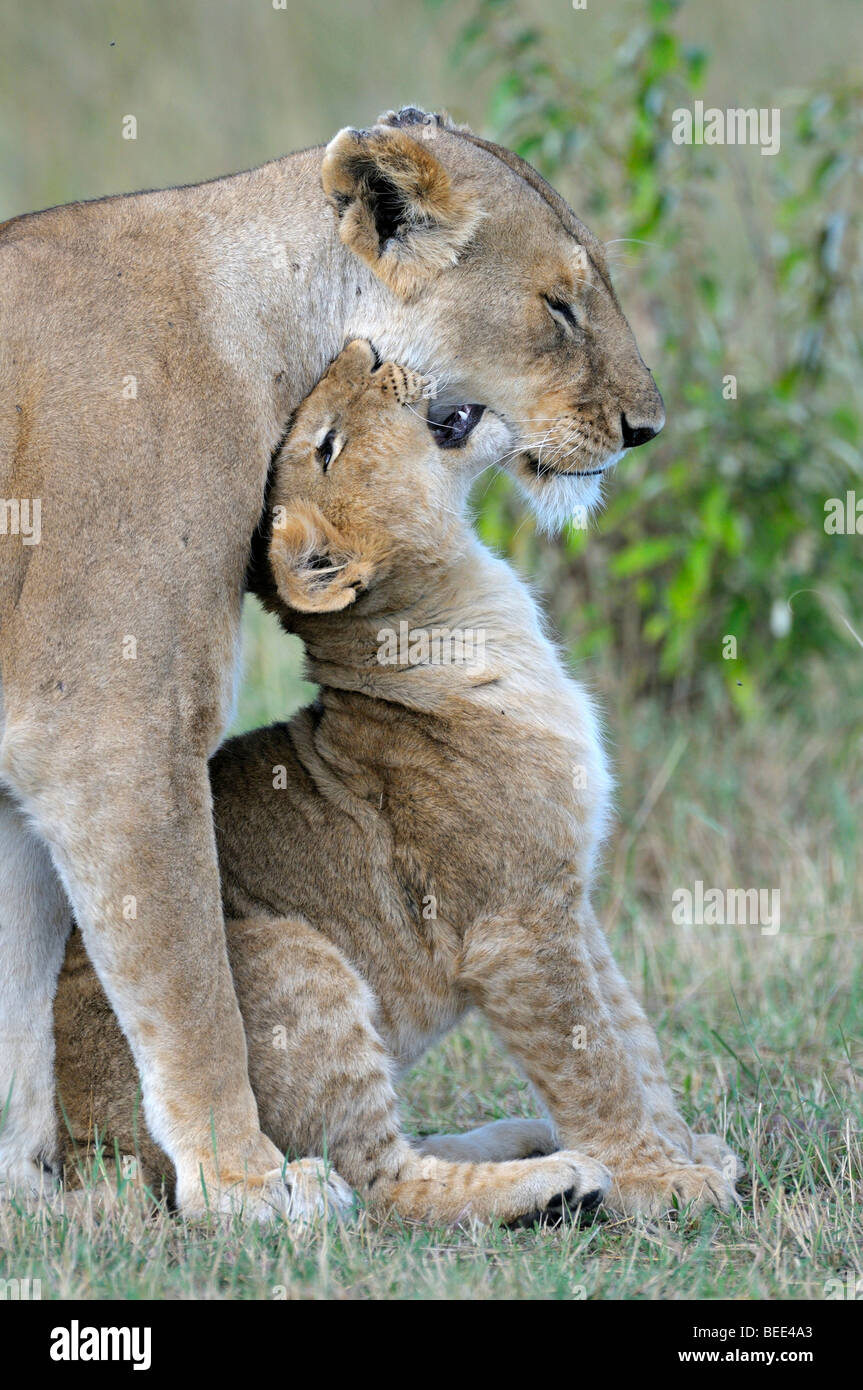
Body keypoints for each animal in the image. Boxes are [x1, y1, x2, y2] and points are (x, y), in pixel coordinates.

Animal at [0, 106, 664, 1219]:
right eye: (558, 305)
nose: (646, 427)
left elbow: (16, 1009)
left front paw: (26, 1202)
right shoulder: (108, 737)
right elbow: (192, 993)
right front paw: (241, 1186)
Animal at [53, 341, 740, 1225]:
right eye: (326, 445)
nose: (364, 347)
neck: (477, 608)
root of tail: (77, 1143)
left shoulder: (566, 895)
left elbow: (631, 1035)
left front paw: (682, 1150)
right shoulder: (513, 923)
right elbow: (592, 1063)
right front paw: (658, 1181)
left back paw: (526, 1139)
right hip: (289, 952)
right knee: (379, 1183)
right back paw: (558, 1177)